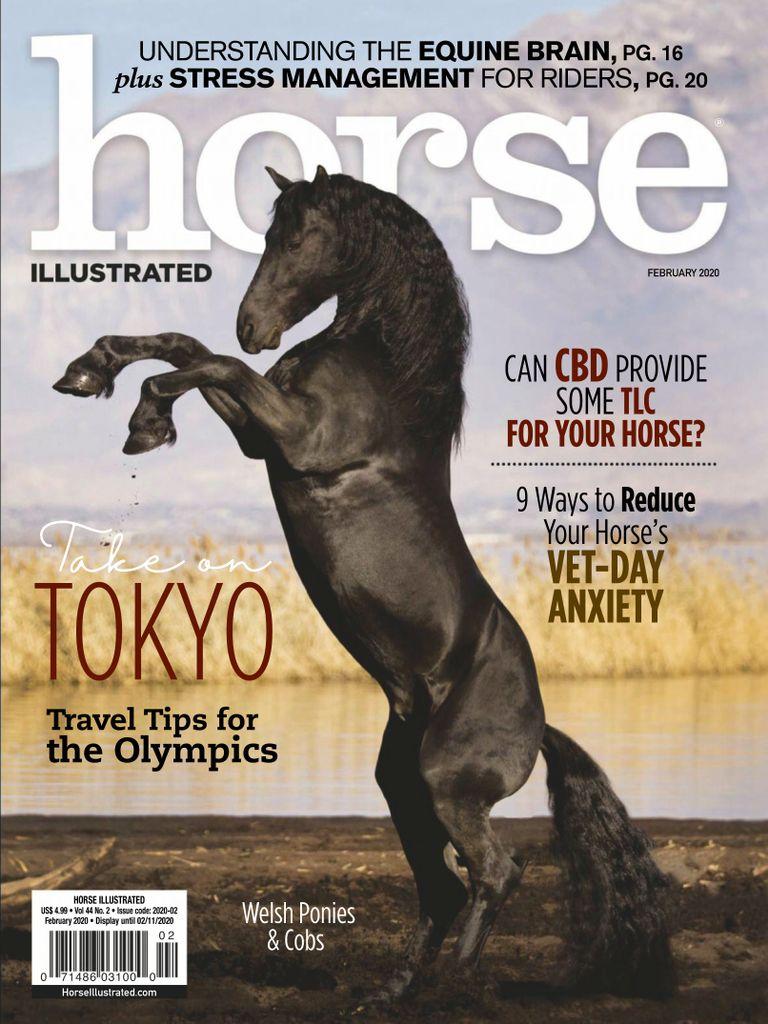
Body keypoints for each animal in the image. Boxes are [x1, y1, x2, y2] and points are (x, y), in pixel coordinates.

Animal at [53, 166, 674, 1002]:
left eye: (303, 237)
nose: (253, 325)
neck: (382, 368)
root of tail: (538, 724)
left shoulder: (294, 434)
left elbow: (210, 363)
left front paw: (145, 419)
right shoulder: (260, 433)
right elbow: (190, 350)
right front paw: (92, 372)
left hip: (445, 782)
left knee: (497, 871)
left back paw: (453, 982)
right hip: (400, 786)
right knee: (443, 886)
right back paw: (394, 991)